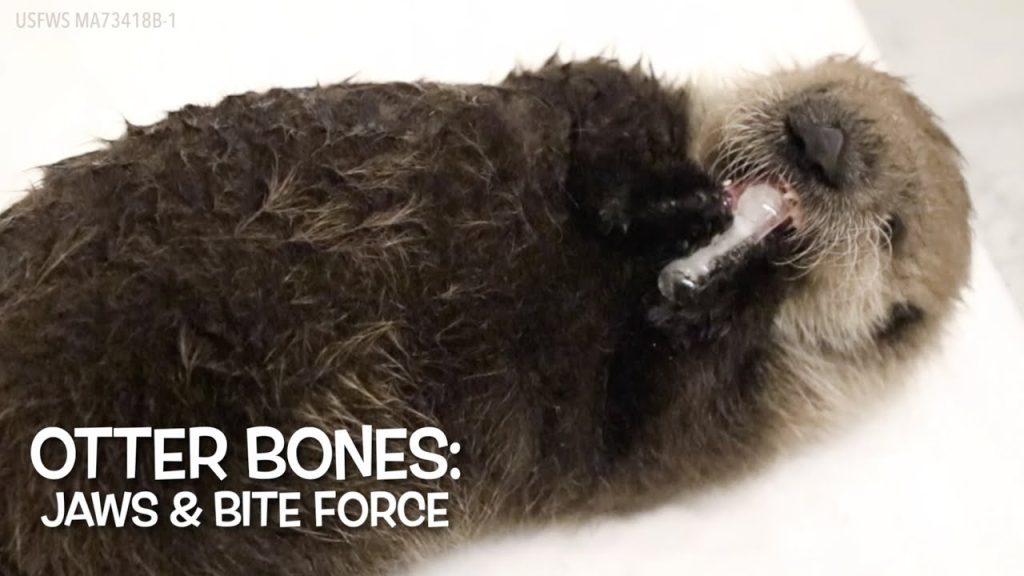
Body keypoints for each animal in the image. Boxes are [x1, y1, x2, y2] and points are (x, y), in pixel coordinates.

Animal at [0, 56, 970, 575]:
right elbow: (589, 111)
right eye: (825, 89)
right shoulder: (619, 94)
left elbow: (639, 409)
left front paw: (716, 289)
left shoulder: (723, 426)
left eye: (890, 228)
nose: (821, 143)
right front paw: (665, 200)